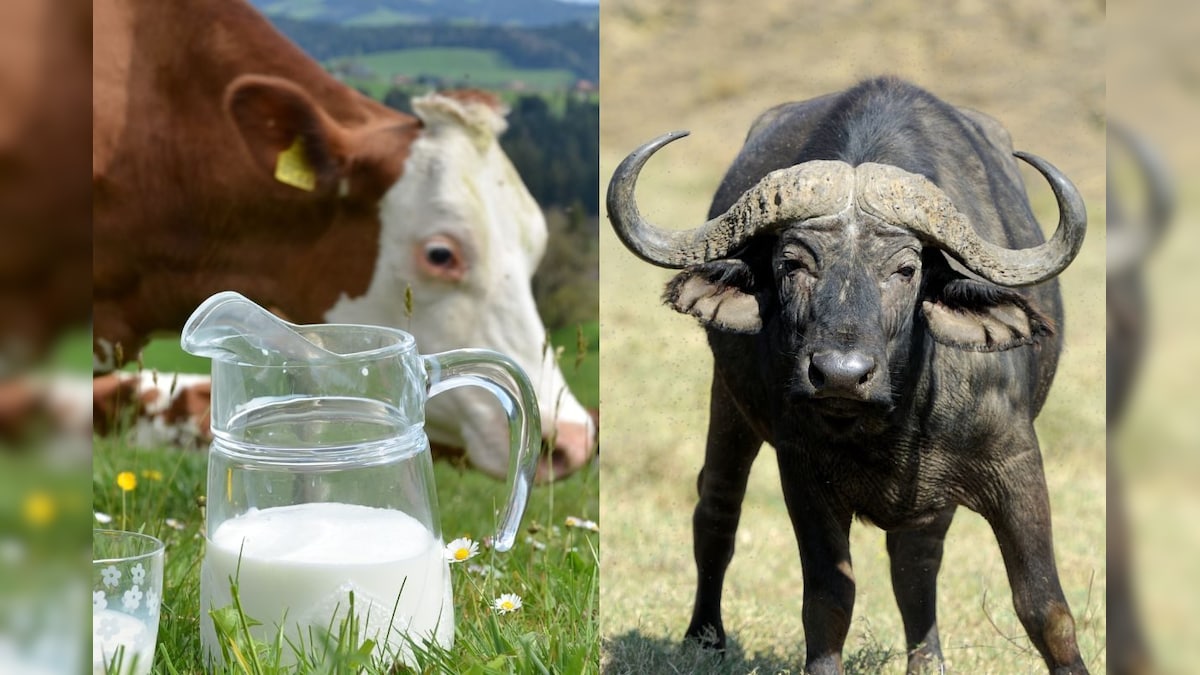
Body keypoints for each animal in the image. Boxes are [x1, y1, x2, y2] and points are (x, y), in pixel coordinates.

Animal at [606, 77, 1090, 673]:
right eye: (792, 264)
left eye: (906, 269)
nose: (839, 375)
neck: (889, 417)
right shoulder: (803, 473)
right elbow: (829, 600)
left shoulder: (1015, 462)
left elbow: (1044, 607)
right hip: (727, 403)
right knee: (717, 509)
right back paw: (704, 637)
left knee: (916, 560)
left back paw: (926, 660)